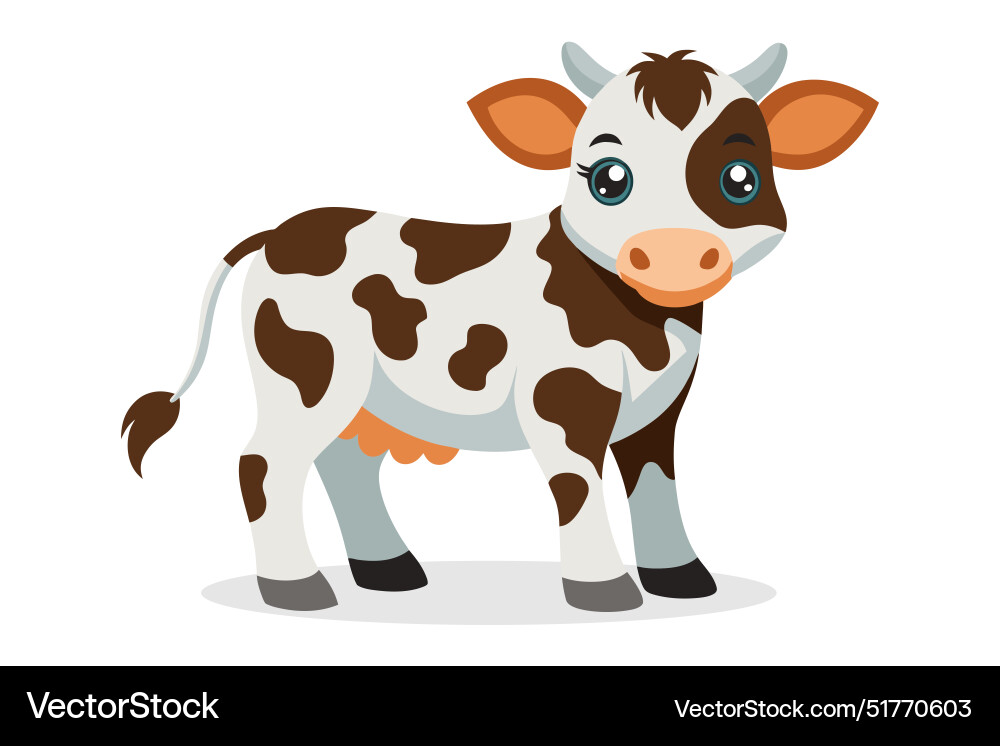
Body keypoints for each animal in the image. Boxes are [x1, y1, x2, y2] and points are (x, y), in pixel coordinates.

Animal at [122, 43, 876, 612]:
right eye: (609, 178)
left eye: (740, 177)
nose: (673, 254)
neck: (642, 328)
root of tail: (281, 233)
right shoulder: (560, 397)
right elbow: (577, 485)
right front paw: (604, 591)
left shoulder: (662, 409)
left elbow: (656, 483)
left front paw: (683, 580)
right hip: (307, 374)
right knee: (265, 462)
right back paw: (298, 588)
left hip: (365, 394)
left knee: (345, 461)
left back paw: (389, 570)